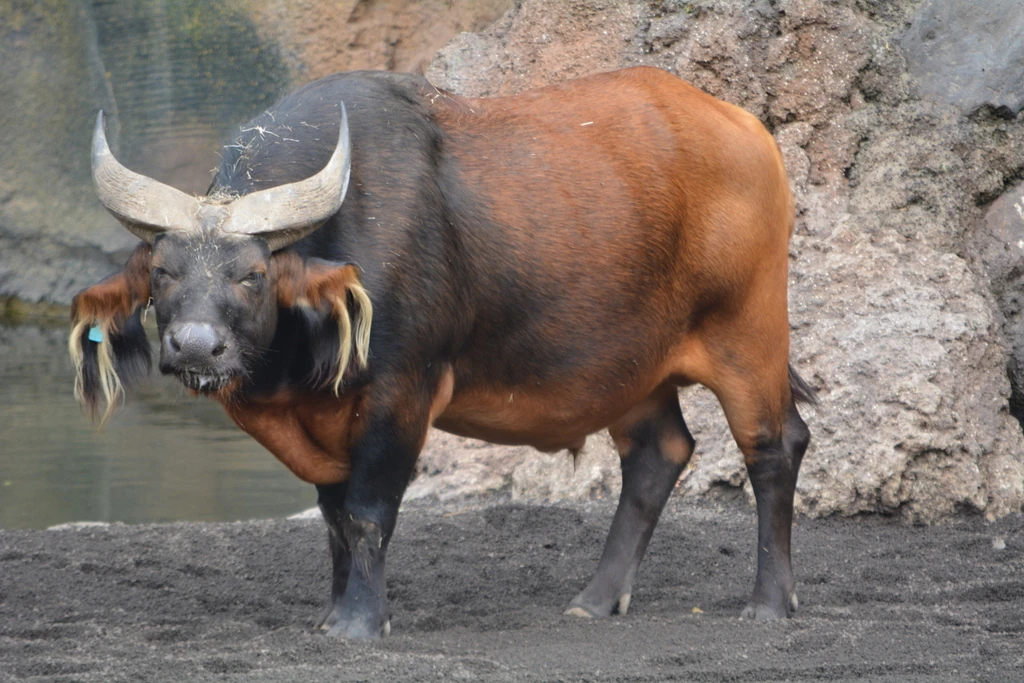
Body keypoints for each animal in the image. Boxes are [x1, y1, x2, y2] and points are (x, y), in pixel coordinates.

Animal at [70, 67, 814, 639]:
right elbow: (334, 519)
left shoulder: (401, 392)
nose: (196, 345)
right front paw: (333, 613)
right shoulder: (326, 418)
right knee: (659, 453)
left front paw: (360, 624)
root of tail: (748, 132)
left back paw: (769, 603)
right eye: (162, 272)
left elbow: (368, 512)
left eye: (252, 274)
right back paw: (596, 599)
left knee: (775, 445)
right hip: (630, 367)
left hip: (747, 333)